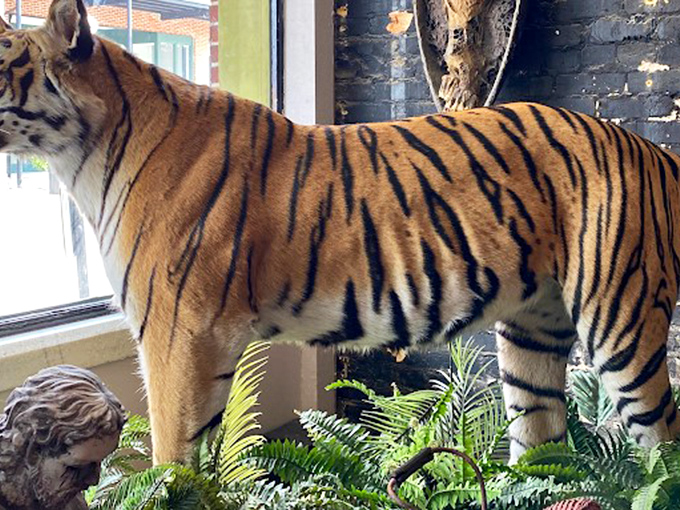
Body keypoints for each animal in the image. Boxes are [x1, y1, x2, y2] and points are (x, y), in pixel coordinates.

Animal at [2, 0, 680, 466]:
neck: (80, 156)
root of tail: (650, 149)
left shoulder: (175, 336)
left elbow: (172, 457)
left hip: (621, 324)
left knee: (660, 448)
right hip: (532, 334)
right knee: (542, 445)